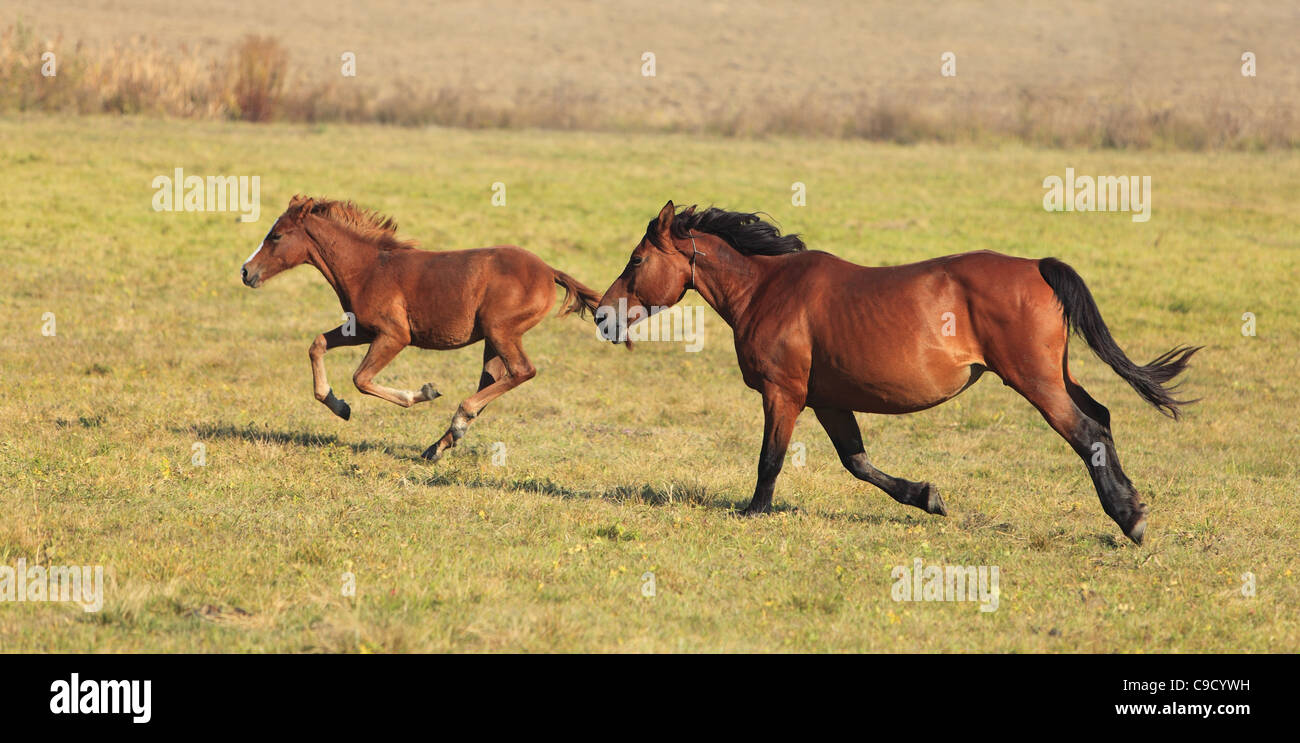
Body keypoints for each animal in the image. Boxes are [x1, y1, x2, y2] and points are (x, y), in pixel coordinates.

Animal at [241, 195, 601, 461]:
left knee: (522, 371)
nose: (246, 271)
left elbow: (361, 379)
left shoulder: (394, 336)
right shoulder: (362, 330)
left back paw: (459, 418)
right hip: (492, 339)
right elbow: (317, 344)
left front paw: (422, 393)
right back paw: (439, 445)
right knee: (496, 378)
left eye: (277, 236)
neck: (368, 268)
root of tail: (548, 270)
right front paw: (338, 406)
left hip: (502, 331)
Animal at [595, 202, 1201, 544]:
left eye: (636, 260)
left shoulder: (783, 393)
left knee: (1087, 431)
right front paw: (926, 496)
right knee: (1102, 418)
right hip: (1058, 375)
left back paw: (1129, 519)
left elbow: (771, 459)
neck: (767, 288)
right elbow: (858, 462)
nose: (602, 315)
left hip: (1036, 382)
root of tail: (1035, 266)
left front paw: (754, 512)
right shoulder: (827, 399)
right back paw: (1130, 506)